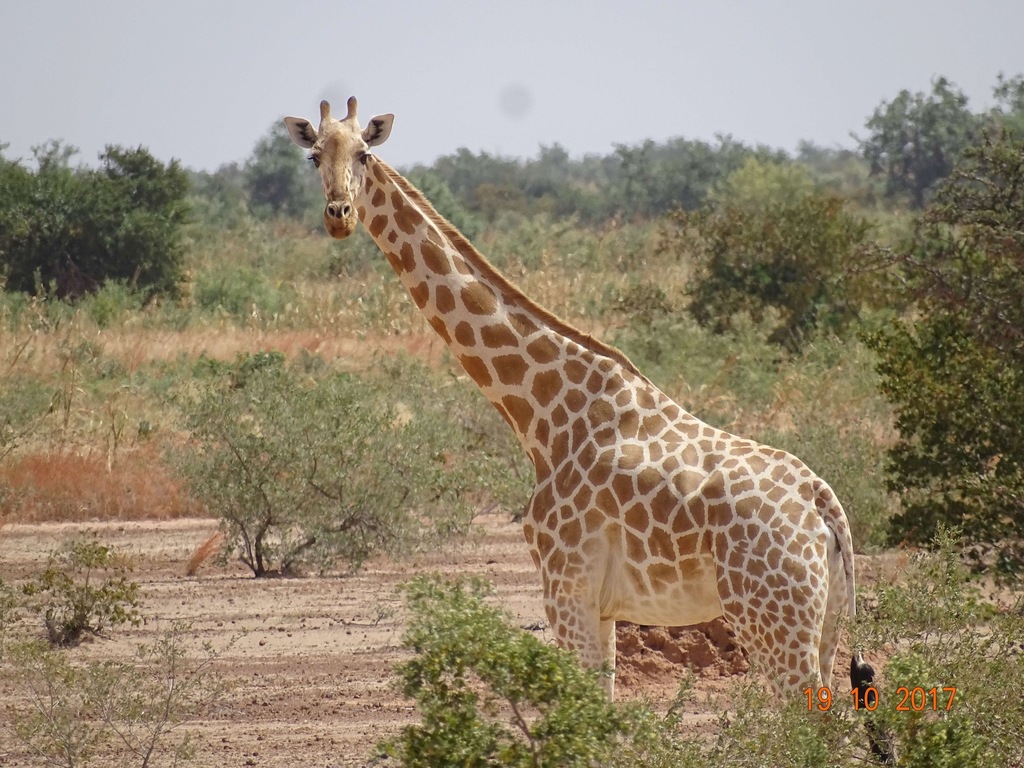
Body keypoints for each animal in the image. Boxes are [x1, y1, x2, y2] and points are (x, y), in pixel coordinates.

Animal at [283, 97, 860, 698]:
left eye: (365, 154)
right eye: (313, 155)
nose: (339, 215)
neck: (545, 417)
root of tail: (824, 506)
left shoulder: (567, 587)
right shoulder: (600, 606)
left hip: (772, 617)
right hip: (827, 625)